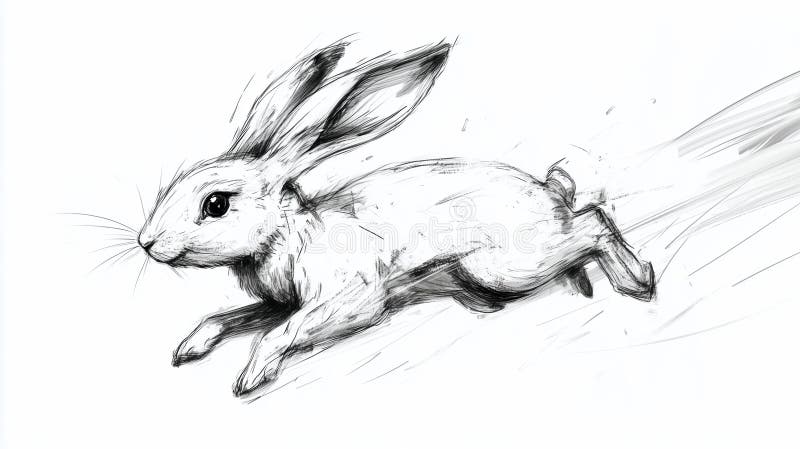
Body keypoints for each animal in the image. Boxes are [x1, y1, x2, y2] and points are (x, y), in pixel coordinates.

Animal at [137, 39, 656, 397]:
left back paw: (639, 281)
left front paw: (249, 378)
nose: (146, 242)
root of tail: (549, 193)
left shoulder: (348, 298)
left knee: (593, 223)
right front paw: (188, 349)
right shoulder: (278, 301)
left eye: (216, 204)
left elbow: (281, 332)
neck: (290, 235)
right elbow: (227, 317)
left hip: (507, 263)